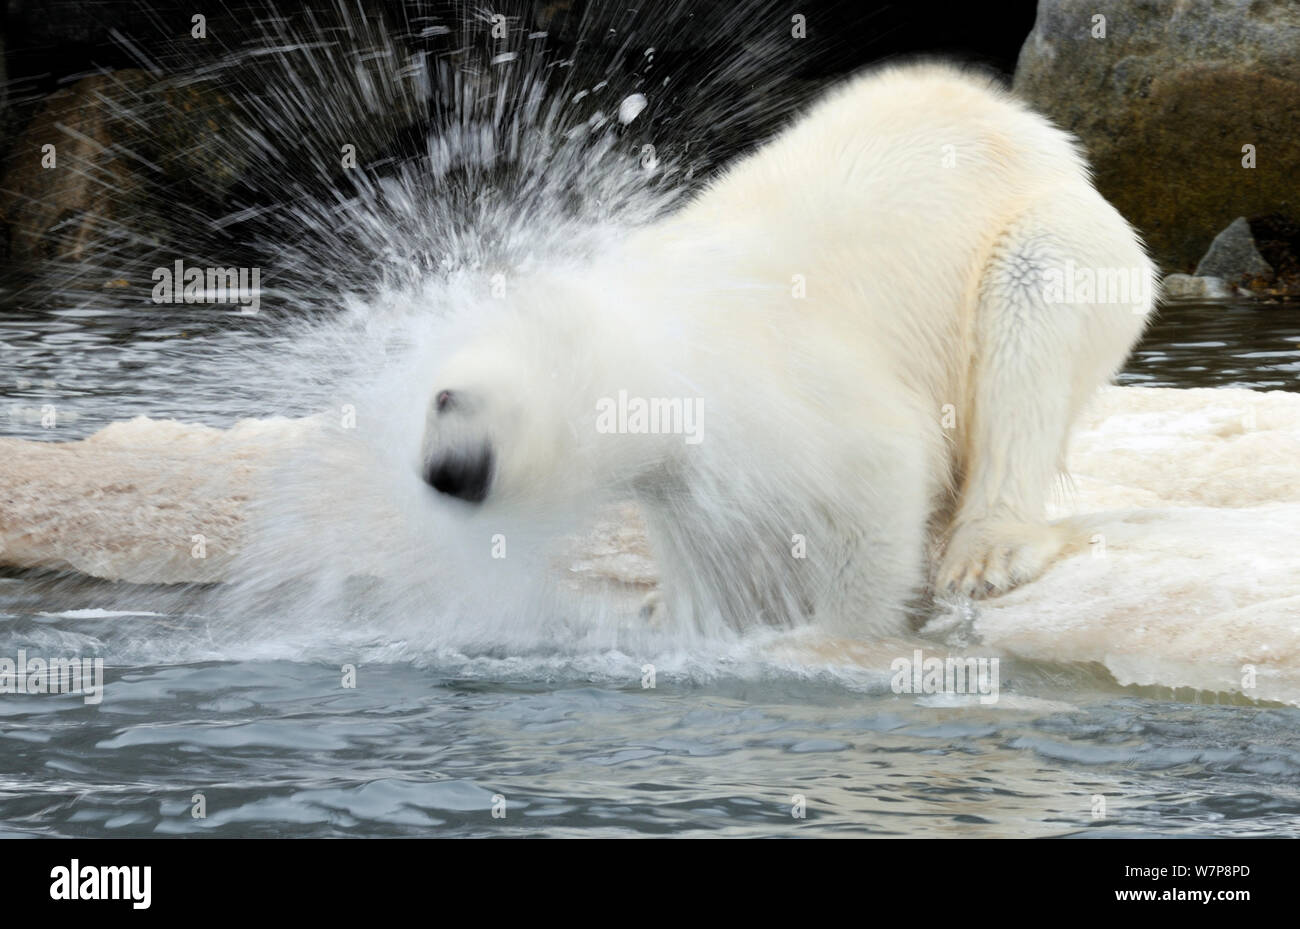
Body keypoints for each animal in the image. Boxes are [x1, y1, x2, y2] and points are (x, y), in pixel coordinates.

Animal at [417, 63, 1156, 637]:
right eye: (438, 396)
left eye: (461, 400)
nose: (442, 472)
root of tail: (1043, 138)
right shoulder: (681, 475)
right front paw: (674, 610)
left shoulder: (768, 391)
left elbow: (878, 476)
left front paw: (841, 638)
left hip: (1059, 241)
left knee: (1027, 317)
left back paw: (985, 553)